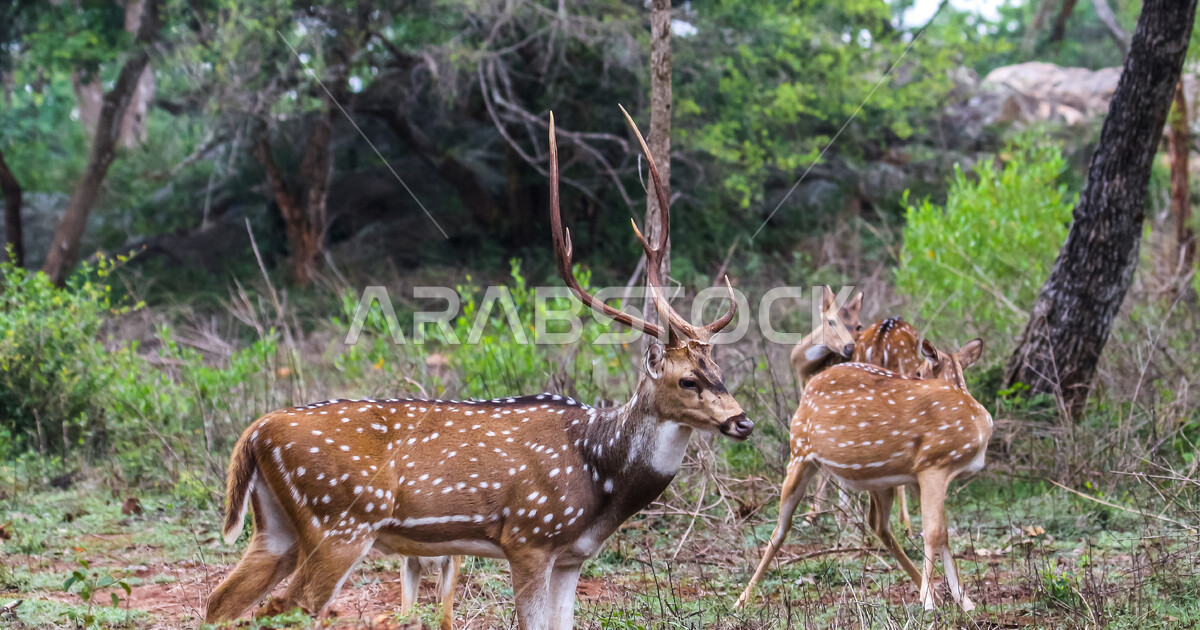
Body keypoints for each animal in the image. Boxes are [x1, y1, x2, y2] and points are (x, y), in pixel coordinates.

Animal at [203, 107, 753, 630]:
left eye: (719, 370)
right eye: (687, 379)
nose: (742, 421)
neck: (598, 474)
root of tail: (255, 433)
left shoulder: (572, 556)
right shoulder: (528, 535)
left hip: (277, 527)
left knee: (221, 603)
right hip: (341, 522)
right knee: (289, 605)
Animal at [736, 337, 988, 612]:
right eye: (920, 373)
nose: (915, 376)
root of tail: (809, 386)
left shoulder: (922, 475)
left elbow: (942, 533)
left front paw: (963, 600)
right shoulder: (933, 464)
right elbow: (934, 532)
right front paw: (929, 602)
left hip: (878, 479)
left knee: (877, 523)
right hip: (800, 452)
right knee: (780, 528)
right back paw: (741, 599)